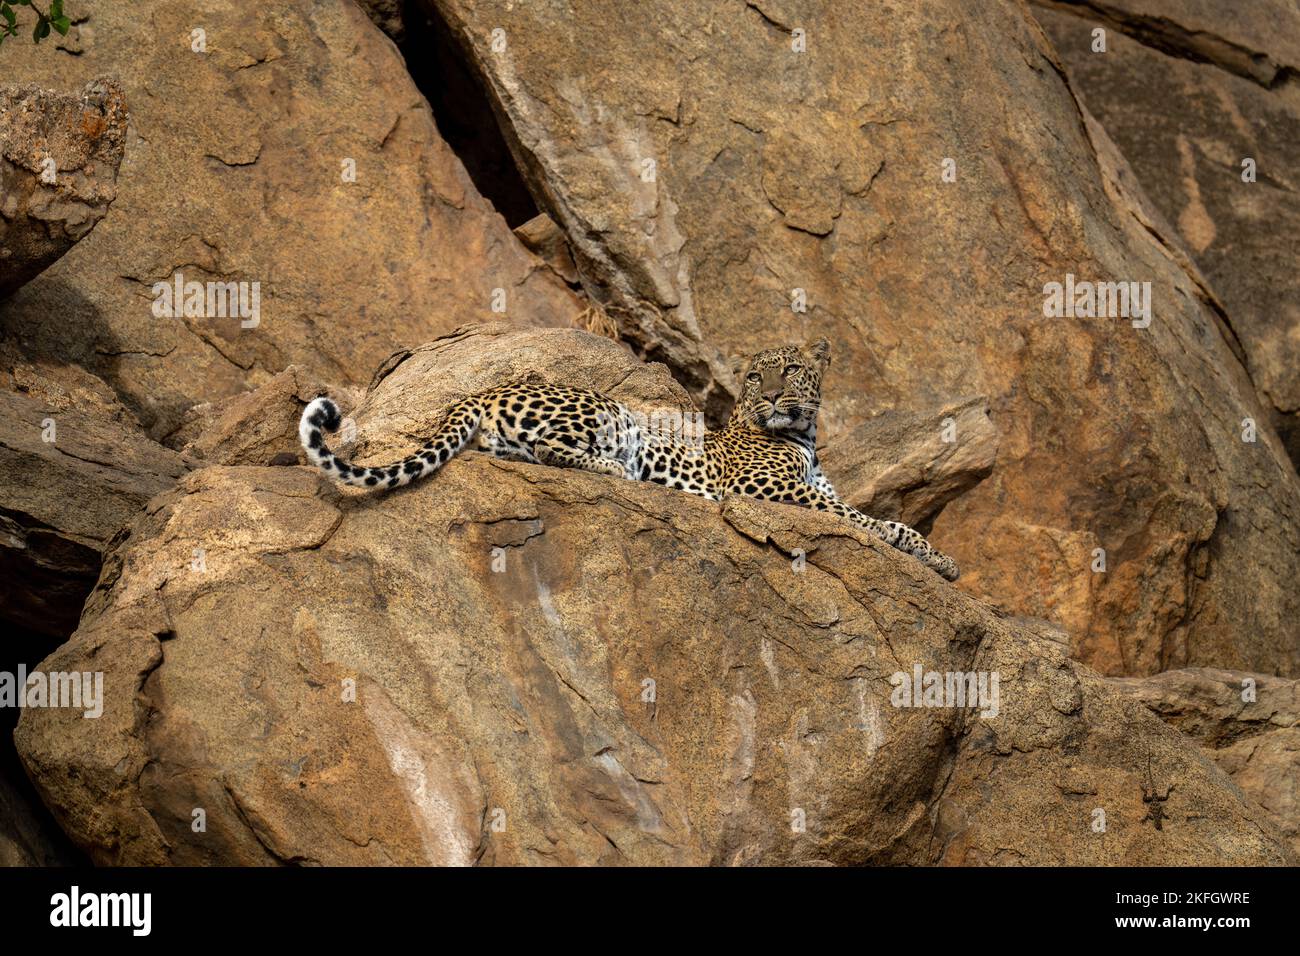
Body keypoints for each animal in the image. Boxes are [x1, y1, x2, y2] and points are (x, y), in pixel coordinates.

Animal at [298, 338, 960, 581]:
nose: (773, 396)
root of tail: (478, 392)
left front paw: (939, 559)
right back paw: (625, 473)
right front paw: (924, 551)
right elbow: (869, 520)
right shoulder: (764, 489)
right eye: (756, 376)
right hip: (603, 408)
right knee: (553, 448)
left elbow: (863, 514)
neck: (805, 434)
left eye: (792, 369)